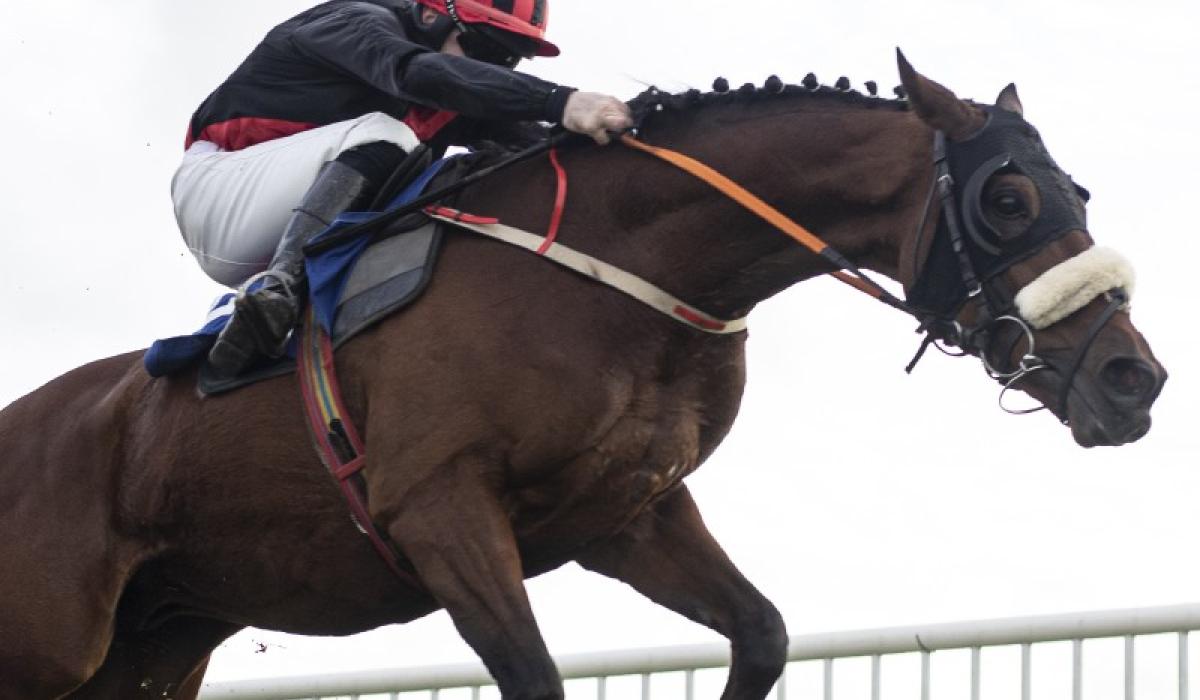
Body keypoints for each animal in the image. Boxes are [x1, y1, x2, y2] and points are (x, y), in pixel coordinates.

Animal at [0, 53, 1165, 700]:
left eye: (1079, 191)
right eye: (1007, 198)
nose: (1132, 379)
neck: (625, 272)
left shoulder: (627, 514)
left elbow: (762, 634)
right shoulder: (439, 509)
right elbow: (537, 674)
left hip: (154, 645)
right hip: (51, 646)